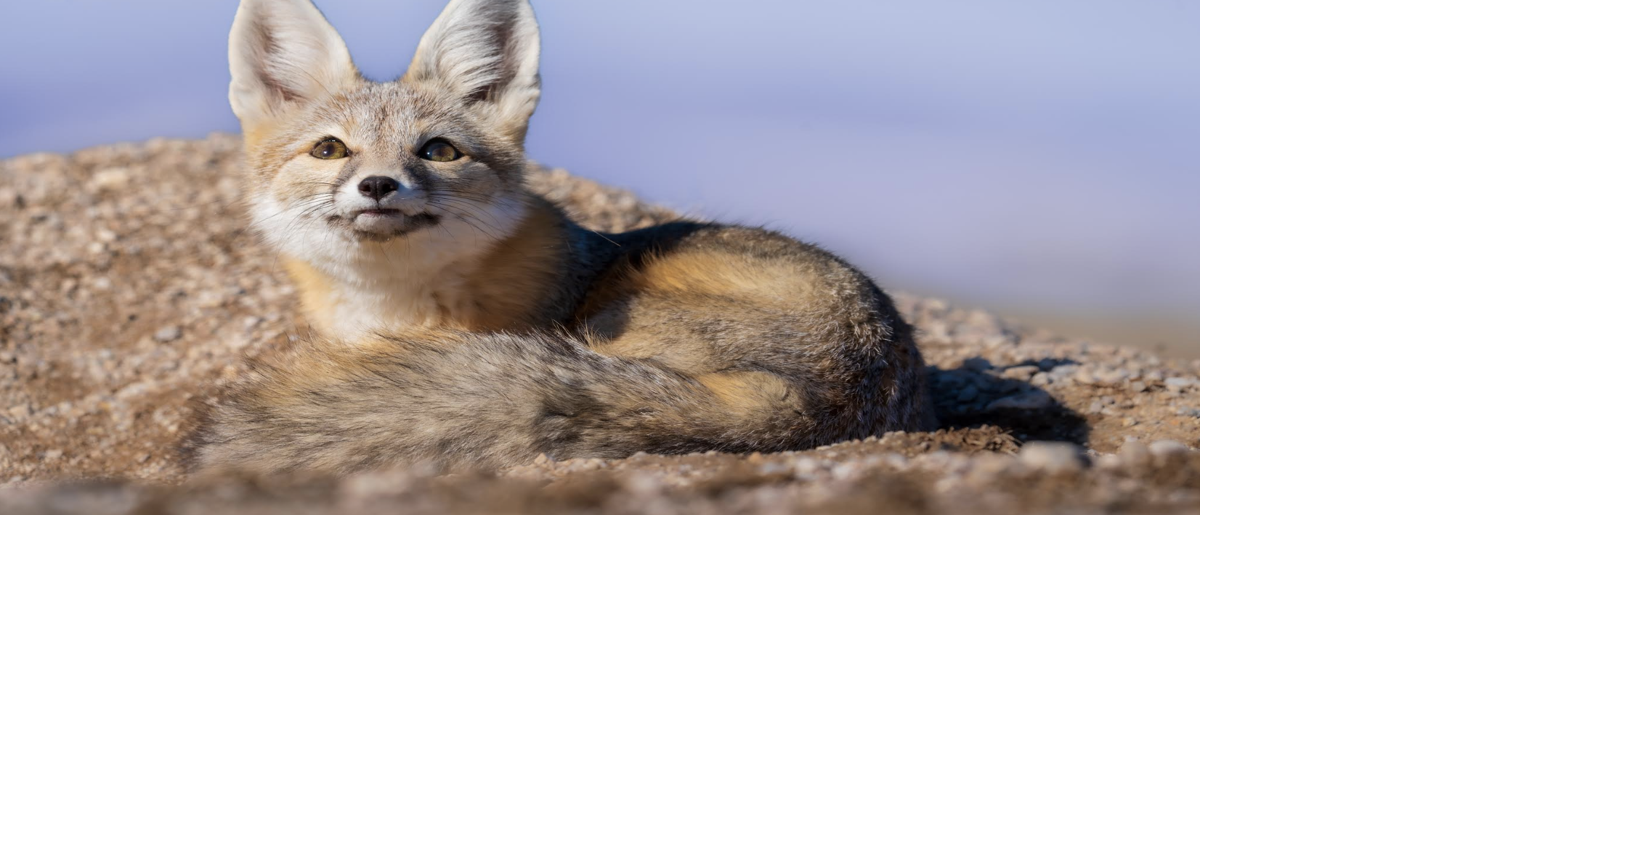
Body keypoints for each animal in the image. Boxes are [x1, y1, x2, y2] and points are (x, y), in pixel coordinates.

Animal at [189, 0, 933, 473]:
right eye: (330, 149)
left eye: (437, 151)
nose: (377, 185)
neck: (389, 311)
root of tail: (825, 398)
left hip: (609, 318)